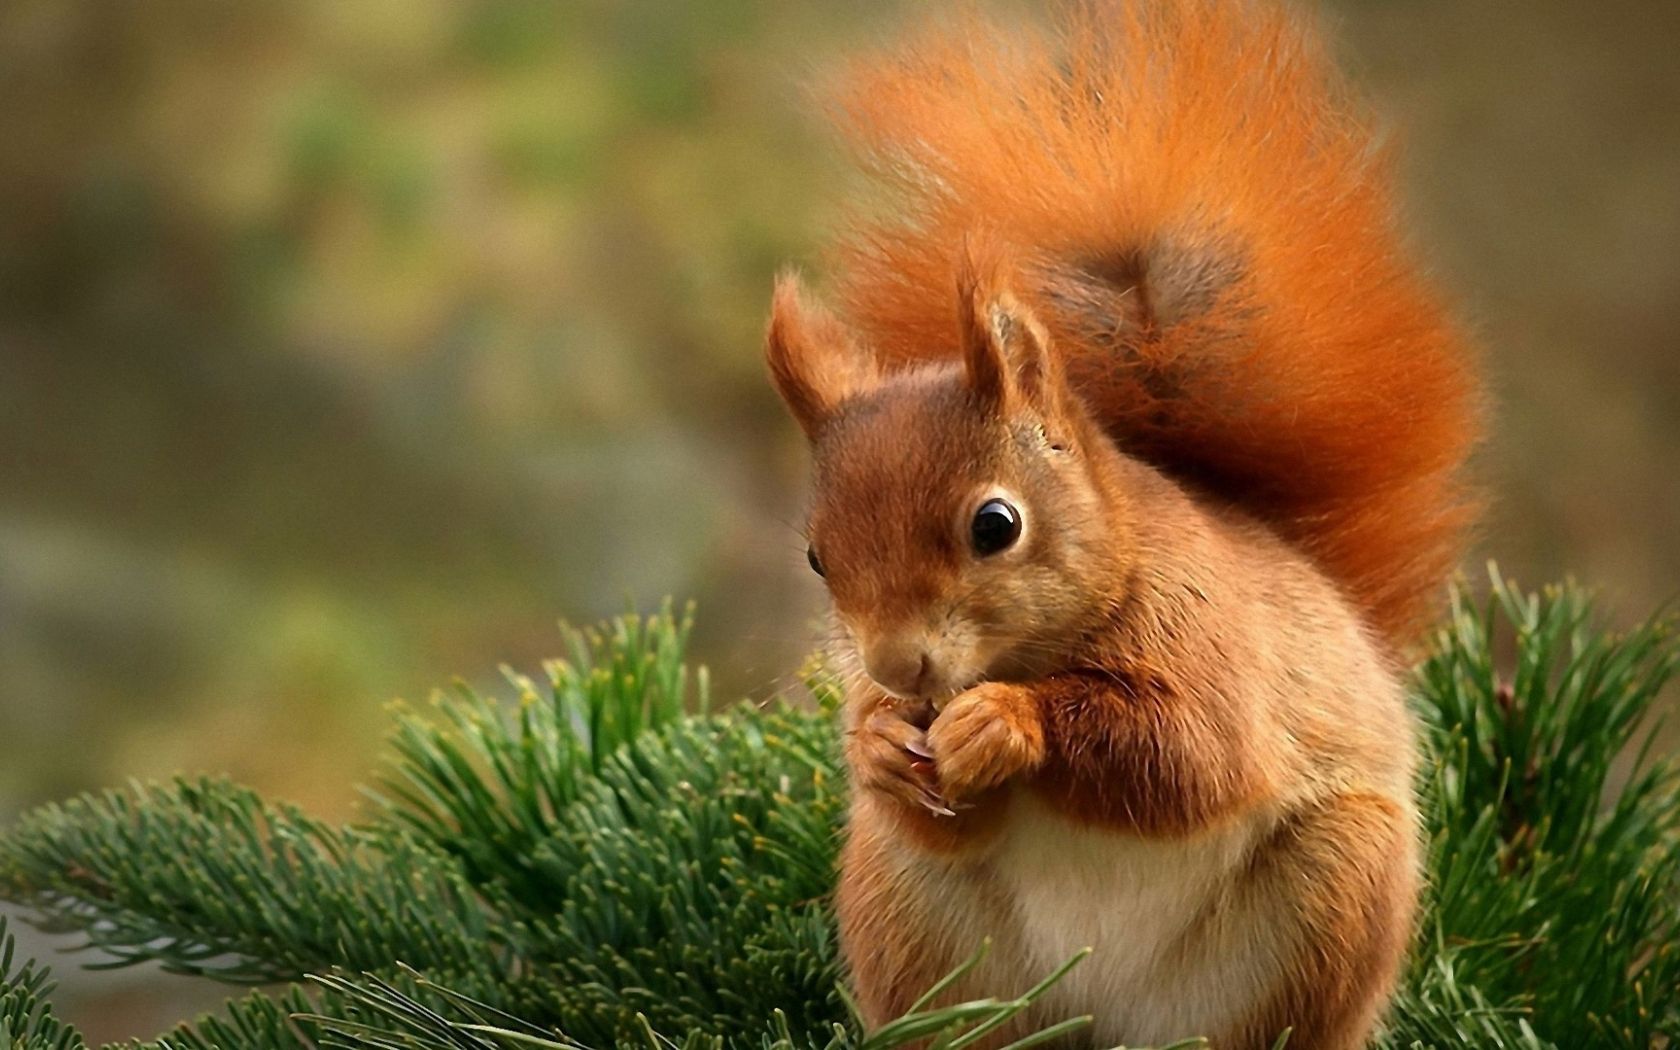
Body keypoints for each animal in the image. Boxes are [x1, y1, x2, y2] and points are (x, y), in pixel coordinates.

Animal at [763, 1, 1480, 1048]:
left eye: (996, 524)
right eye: (817, 558)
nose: (899, 670)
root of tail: (1101, 1019)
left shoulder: (1211, 639)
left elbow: (1189, 755)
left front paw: (1006, 722)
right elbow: (941, 809)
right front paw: (878, 747)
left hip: (1333, 893)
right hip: (912, 918)